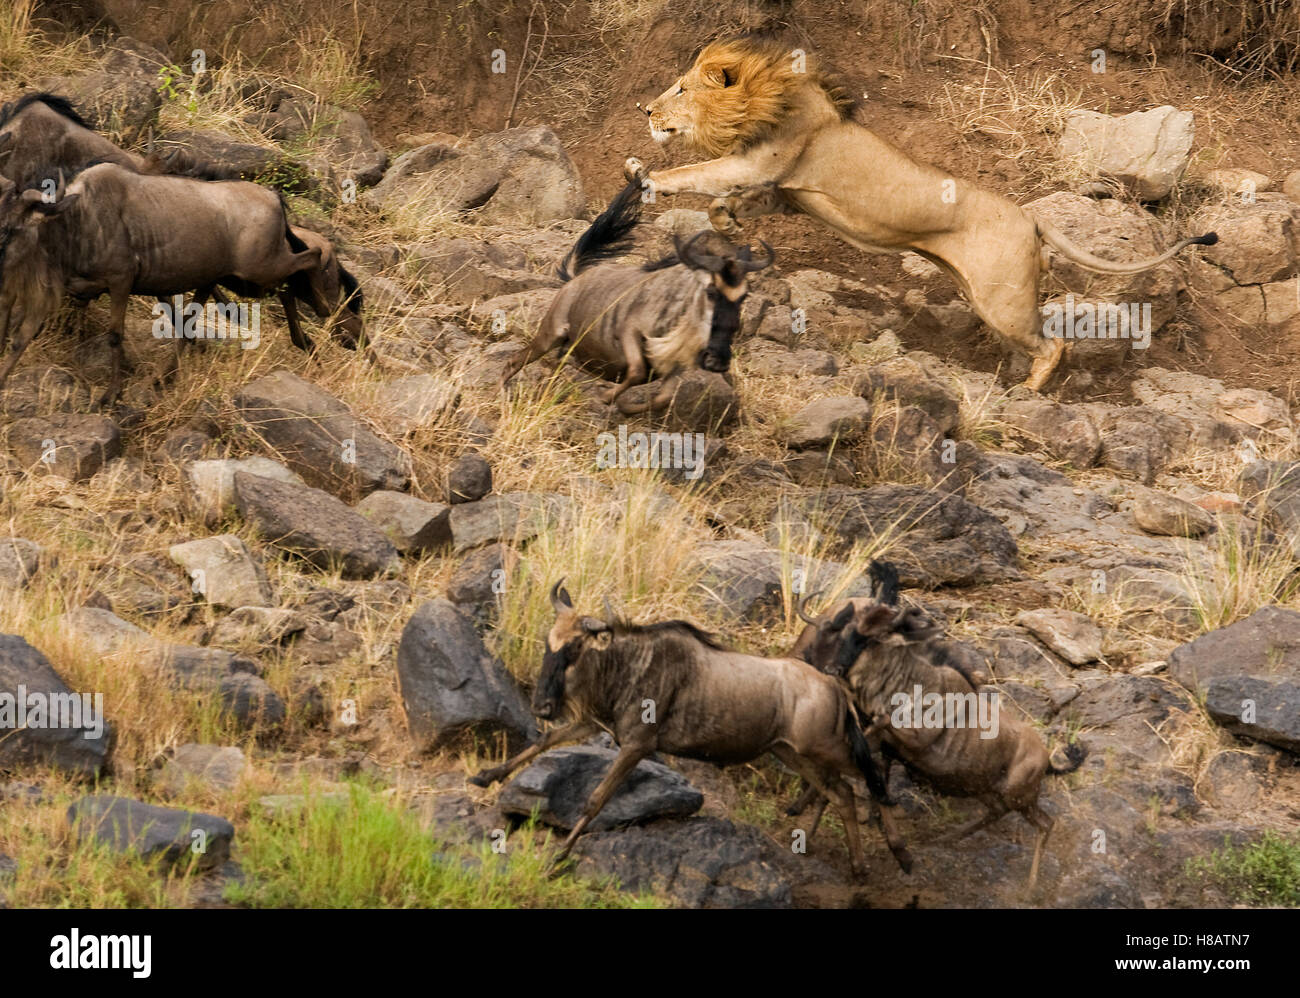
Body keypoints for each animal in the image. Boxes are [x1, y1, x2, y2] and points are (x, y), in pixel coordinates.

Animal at [625, 37, 1217, 391]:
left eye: (682, 88)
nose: (645, 109)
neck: (772, 99)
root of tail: (1031, 218)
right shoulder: (781, 186)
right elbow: (728, 200)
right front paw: (727, 222)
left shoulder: (757, 161)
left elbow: (694, 175)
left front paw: (645, 176)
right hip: (987, 297)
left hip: (1003, 301)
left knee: (1055, 344)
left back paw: (1028, 389)